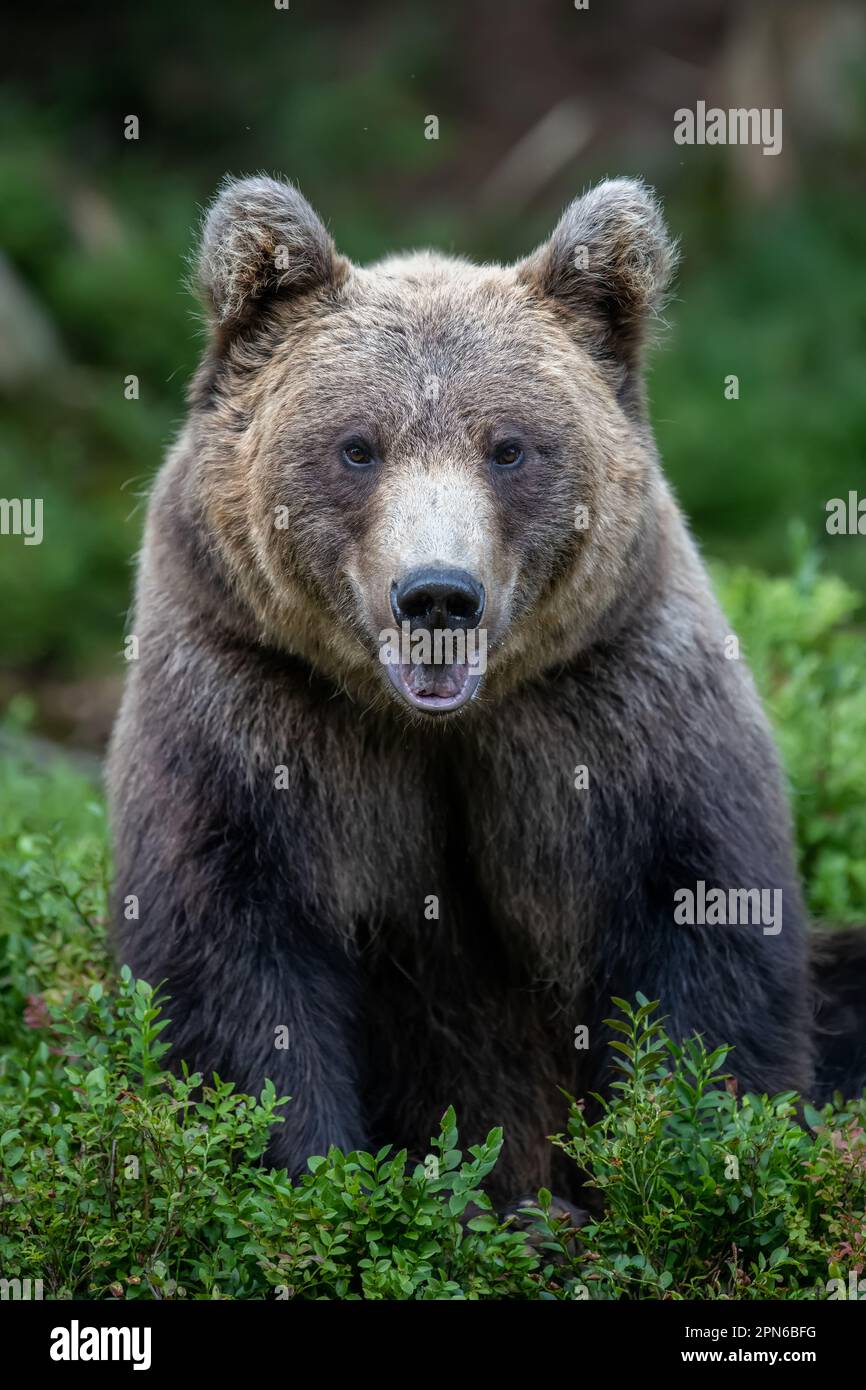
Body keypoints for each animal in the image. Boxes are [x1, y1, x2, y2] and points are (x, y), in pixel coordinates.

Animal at [107, 173, 863, 1210]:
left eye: (509, 447)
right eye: (359, 446)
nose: (437, 593)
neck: (435, 724)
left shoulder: (612, 705)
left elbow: (699, 939)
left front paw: (675, 1159)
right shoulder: (249, 702)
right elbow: (230, 961)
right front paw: (315, 1170)